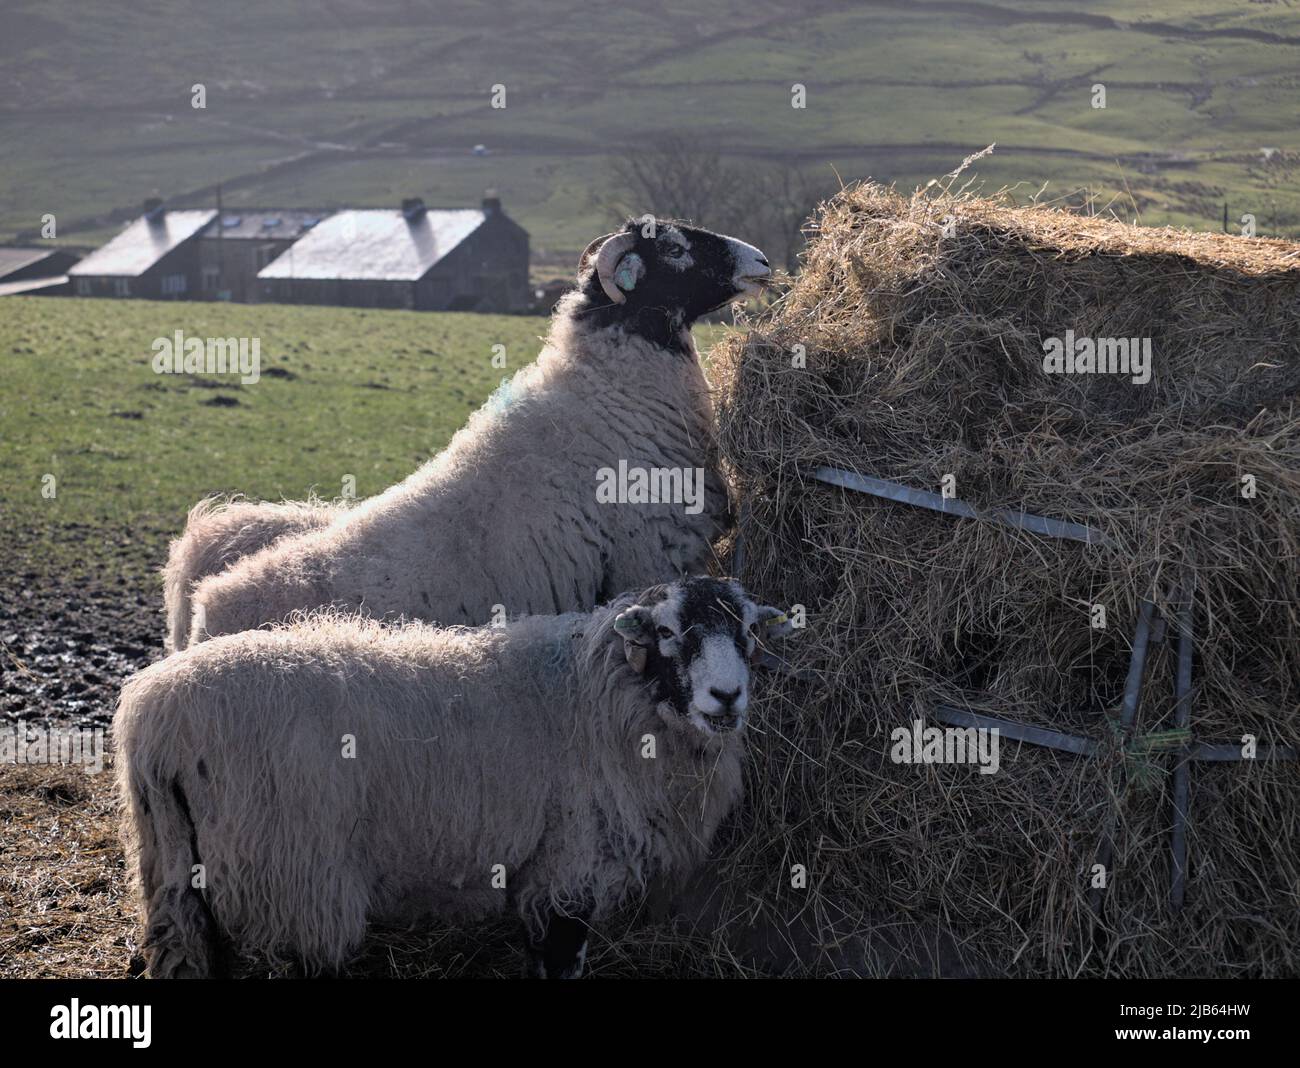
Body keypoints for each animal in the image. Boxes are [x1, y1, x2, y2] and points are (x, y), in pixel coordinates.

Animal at [115, 575, 792, 978]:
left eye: (749, 632)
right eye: (670, 633)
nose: (727, 698)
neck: (596, 695)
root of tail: (156, 716)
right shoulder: (570, 863)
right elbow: (561, 958)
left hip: (174, 872)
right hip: (286, 877)